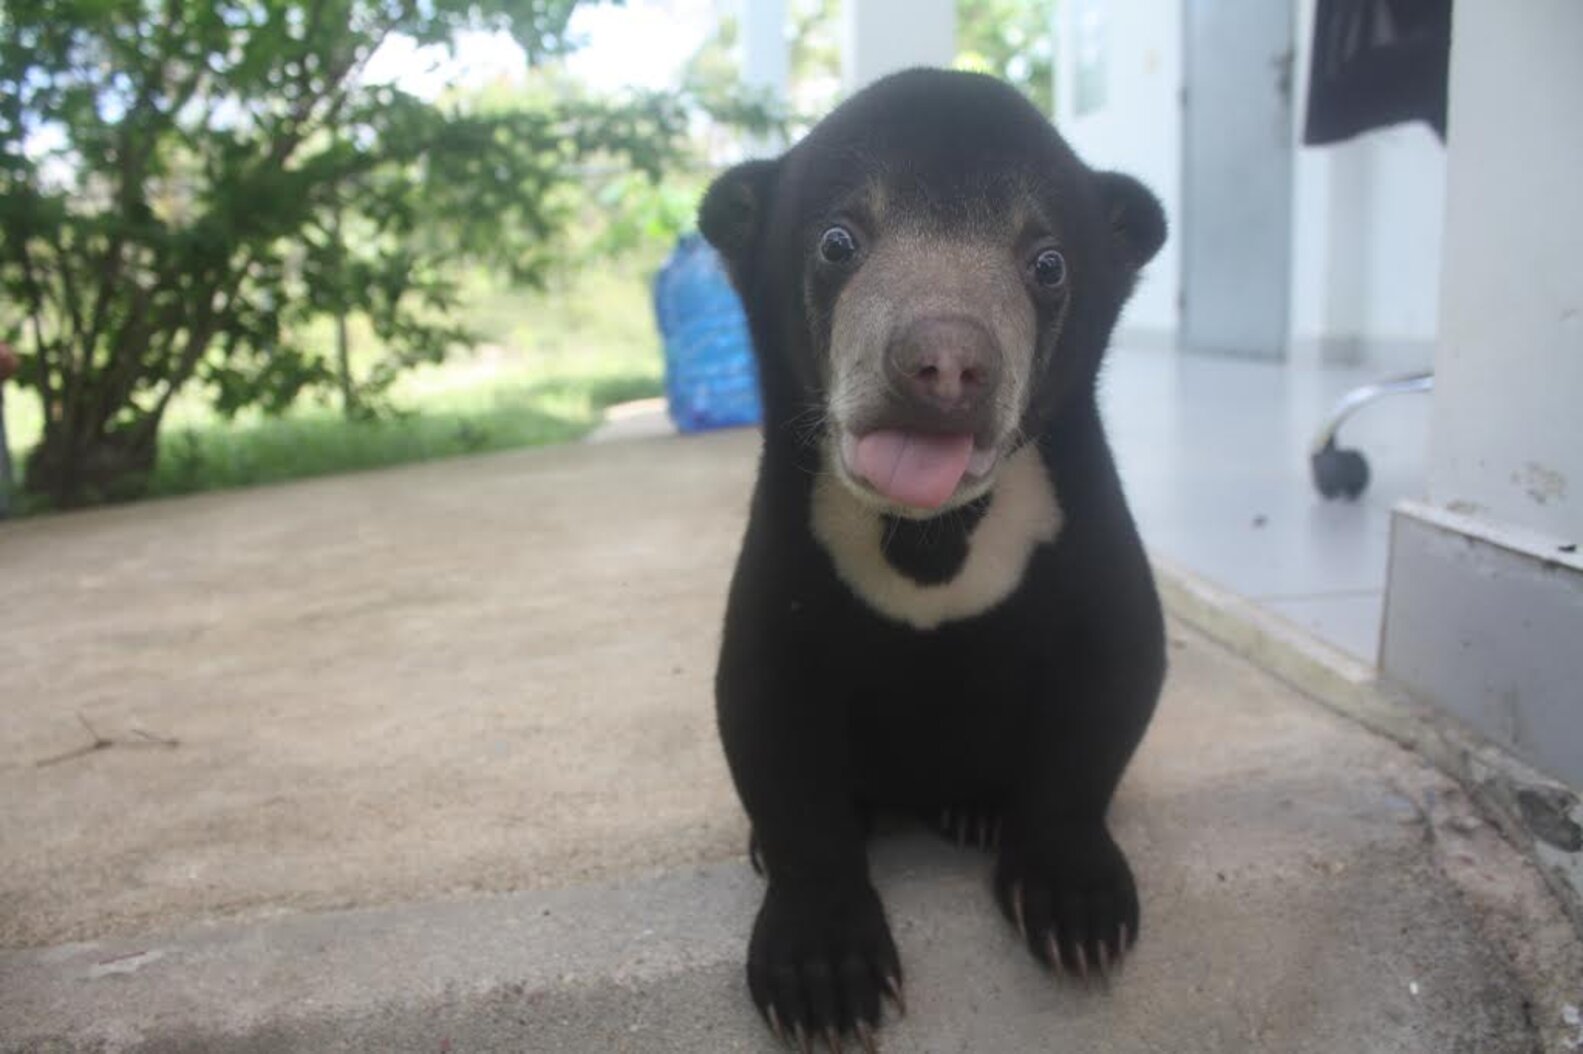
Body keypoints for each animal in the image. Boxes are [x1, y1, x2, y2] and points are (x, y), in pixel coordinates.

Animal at [699, 68, 1168, 1051]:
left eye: (1046, 263)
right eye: (838, 240)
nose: (944, 363)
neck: (930, 533)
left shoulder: (1088, 531)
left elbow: (1110, 683)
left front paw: (1077, 910)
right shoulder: (785, 559)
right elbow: (769, 725)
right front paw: (821, 976)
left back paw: (977, 811)